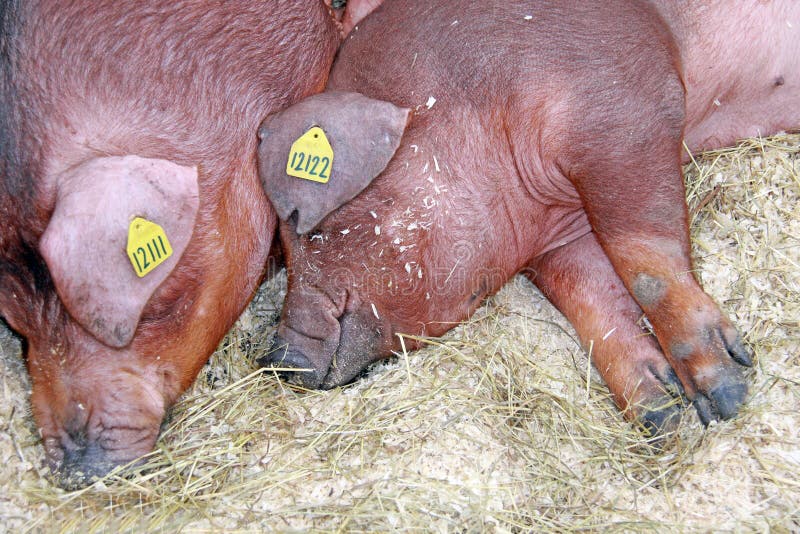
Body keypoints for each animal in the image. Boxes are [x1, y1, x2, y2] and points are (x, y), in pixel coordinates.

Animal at [259, 0, 799, 436]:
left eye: (313, 229)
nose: (276, 360)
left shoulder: (624, 108)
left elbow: (643, 262)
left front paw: (726, 397)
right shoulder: (562, 236)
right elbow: (593, 300)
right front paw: (659, 416)